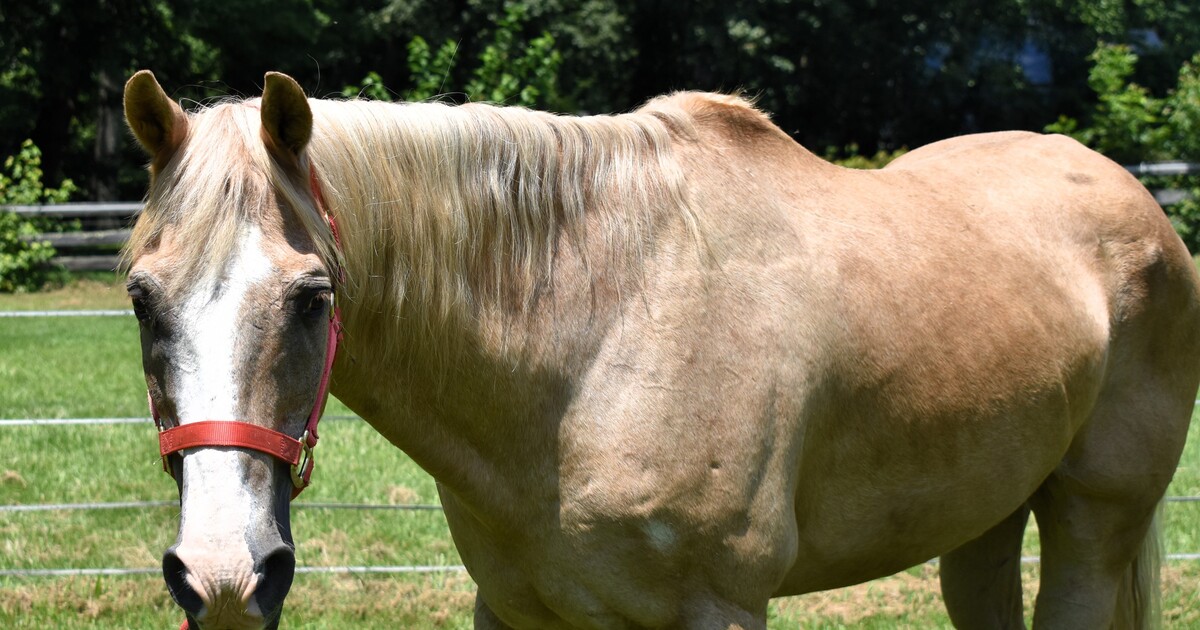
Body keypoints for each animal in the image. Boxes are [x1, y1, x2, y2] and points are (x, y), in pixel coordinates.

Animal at [122, 69, 1200, 629]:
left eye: (313, 299)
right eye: (141, 297)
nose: (223, 576)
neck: (595, 335)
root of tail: (1135, 199)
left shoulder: (718, 607)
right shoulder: (516, 610)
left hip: (1094, 520)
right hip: (982, 518)